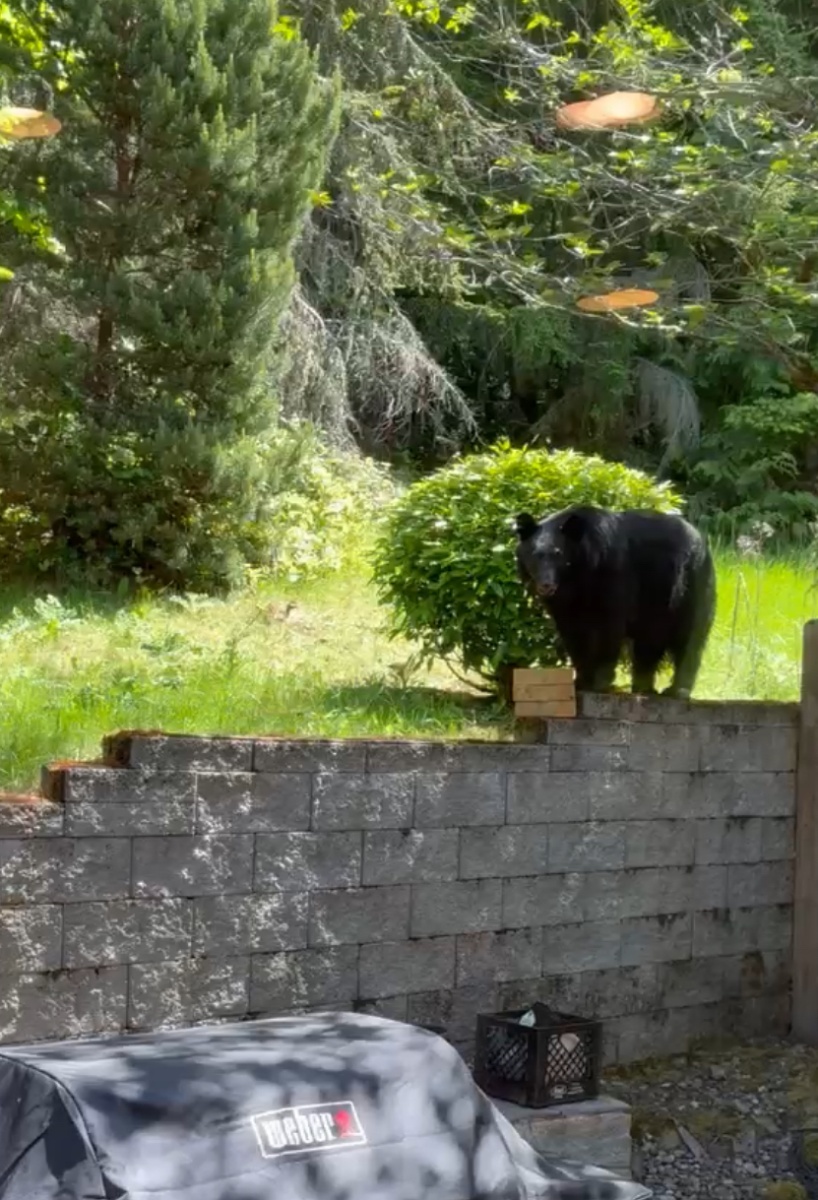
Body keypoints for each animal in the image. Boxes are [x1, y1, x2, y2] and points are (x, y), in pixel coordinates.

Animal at [514, 504, 716, 698]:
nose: (546, 585)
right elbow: (573, 635)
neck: (577, 575)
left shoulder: (613, 575)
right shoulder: (565, 604)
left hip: (689, 587)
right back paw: (643, 687)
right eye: (535, 555)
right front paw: (581, 681)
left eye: (558, 554)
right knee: (649, 643)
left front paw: (600, 682)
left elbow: (609, 627)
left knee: (690, 637)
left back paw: (677, 689)